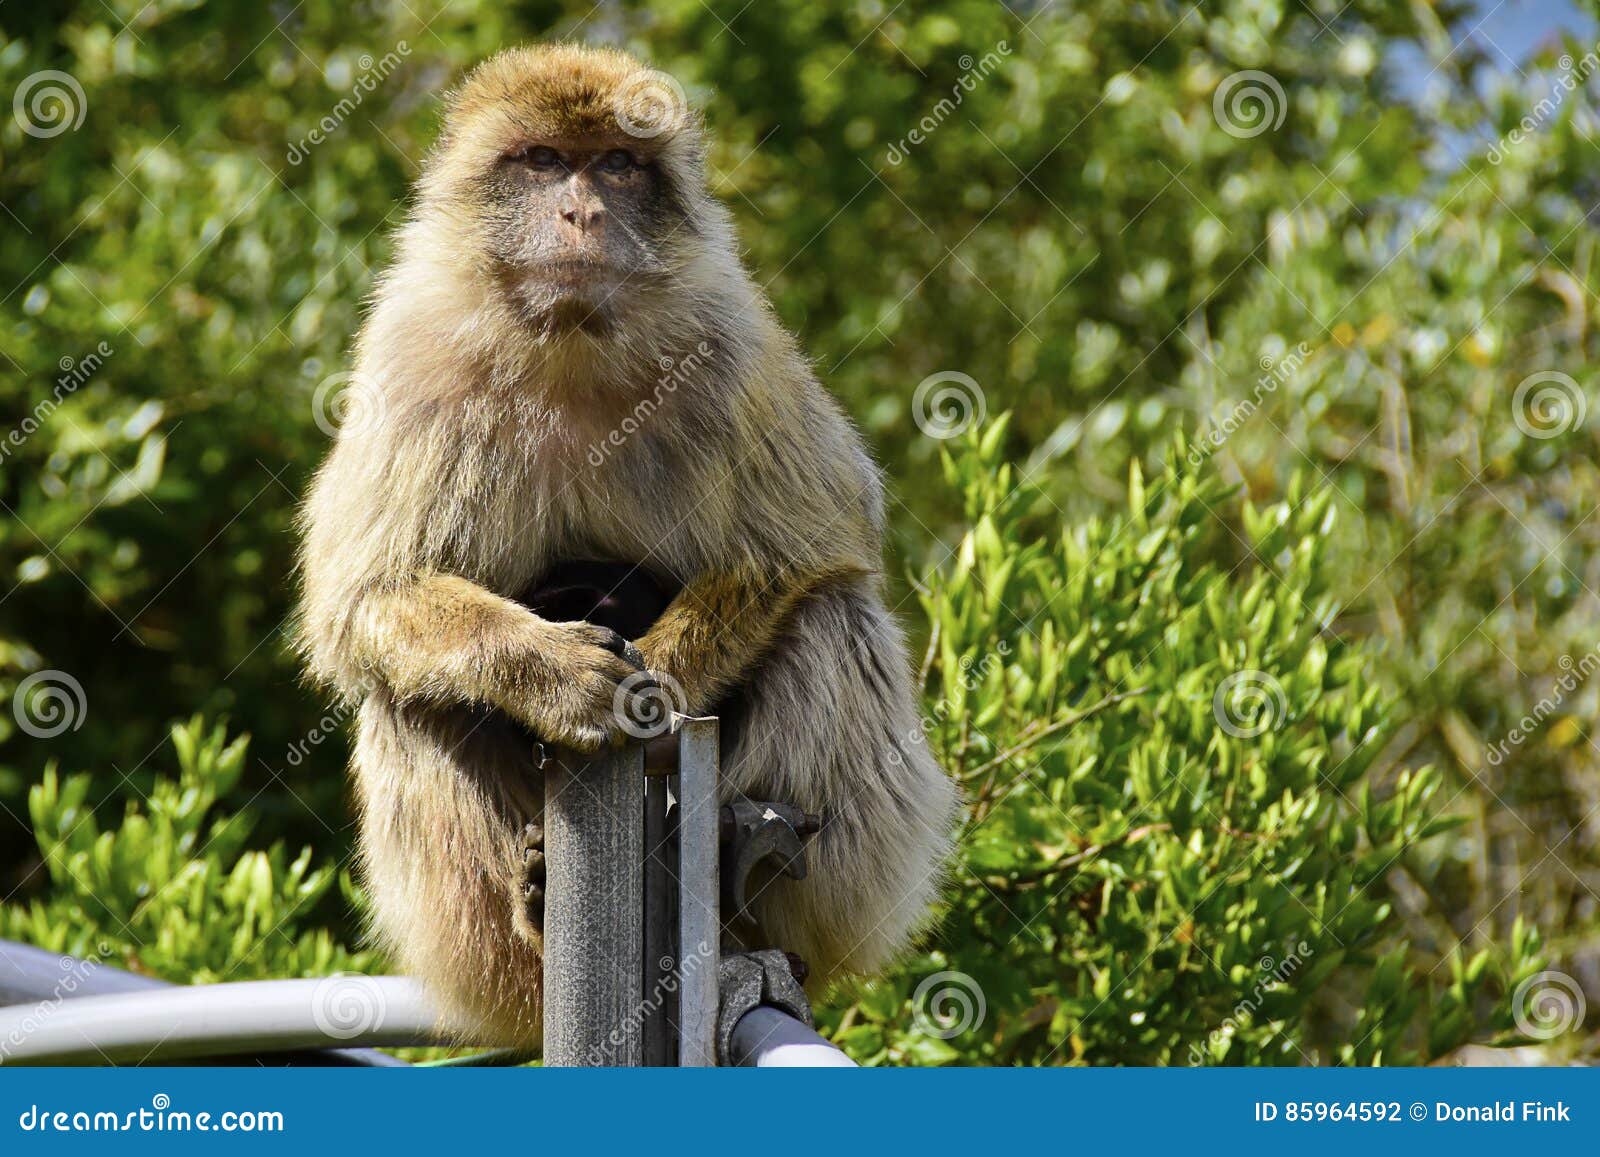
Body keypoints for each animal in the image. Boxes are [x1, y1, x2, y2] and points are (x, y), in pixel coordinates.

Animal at [295, 43, 959, 1048]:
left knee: (832, 620)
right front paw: (554, 672)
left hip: (853, 887)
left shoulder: (729, 342)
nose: (584, 212)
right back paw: (536, 904)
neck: (568, 341)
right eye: (541, 162)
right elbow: (362, 597)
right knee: (408, 698)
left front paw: (655, 686)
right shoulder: (407, 359)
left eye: (615, 165)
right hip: (469, 948)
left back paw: (738, 887)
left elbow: (822, 538)